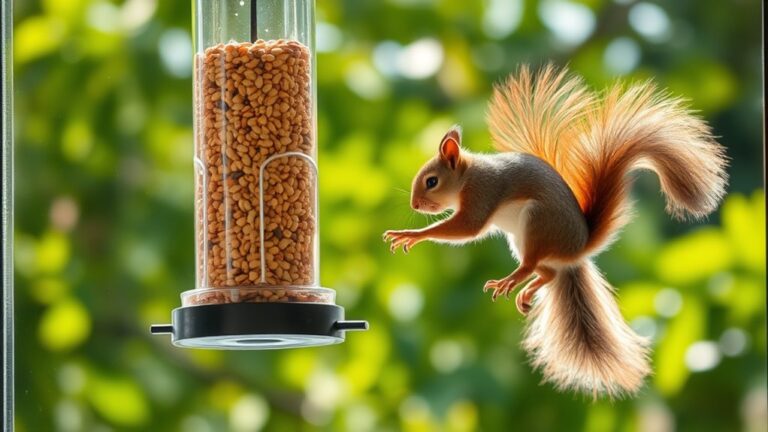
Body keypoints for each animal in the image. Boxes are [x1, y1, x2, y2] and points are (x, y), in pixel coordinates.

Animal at [383, 65, 728, 398]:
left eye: (431, 181)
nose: (414, 205)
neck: (468, 175)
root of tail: (577, 249)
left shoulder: (483, 194)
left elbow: (468, 228)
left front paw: (410, 234)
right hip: (520, 239)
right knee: (546, 272)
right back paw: (525, 289)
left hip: (537, 223)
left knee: (531, 265)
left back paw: (510, 281)